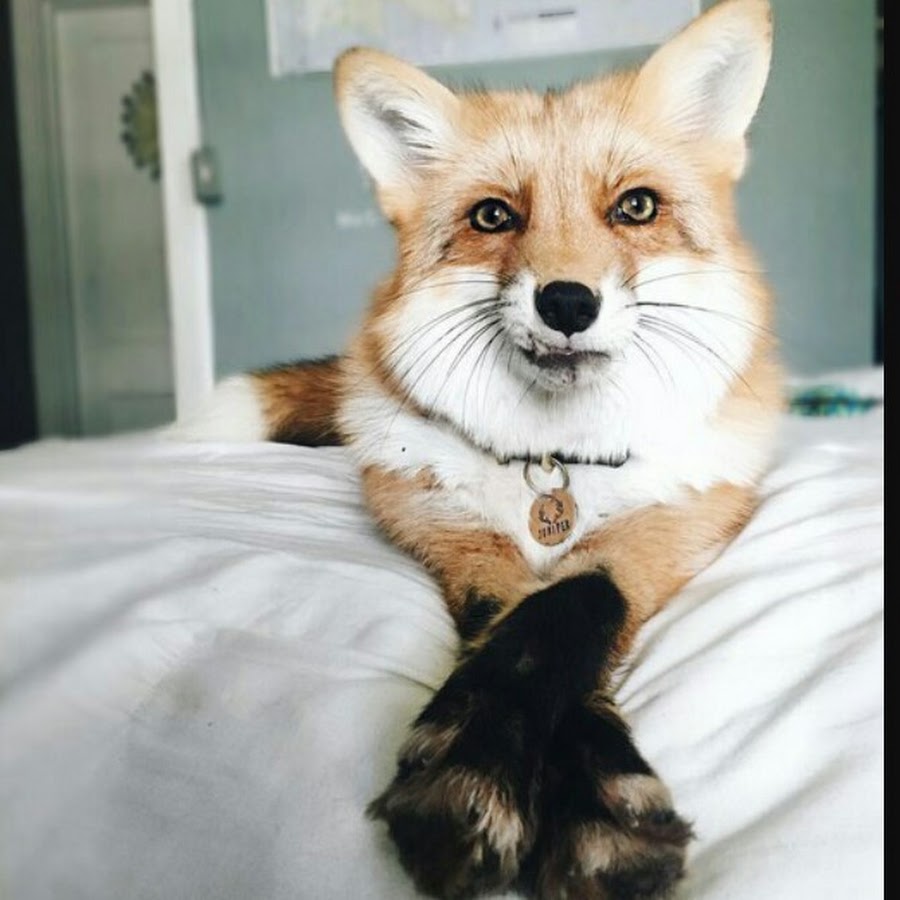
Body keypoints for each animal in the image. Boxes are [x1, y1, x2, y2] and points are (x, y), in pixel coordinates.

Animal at [181, 0, 782, 896]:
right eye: (494, 216)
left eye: (636, 207)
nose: (566, 302)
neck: (557, 461)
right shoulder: (443, 523)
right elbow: (513, 637)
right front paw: (476, 772)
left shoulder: (682, 519)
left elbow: (567, 609)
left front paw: (593, 811)